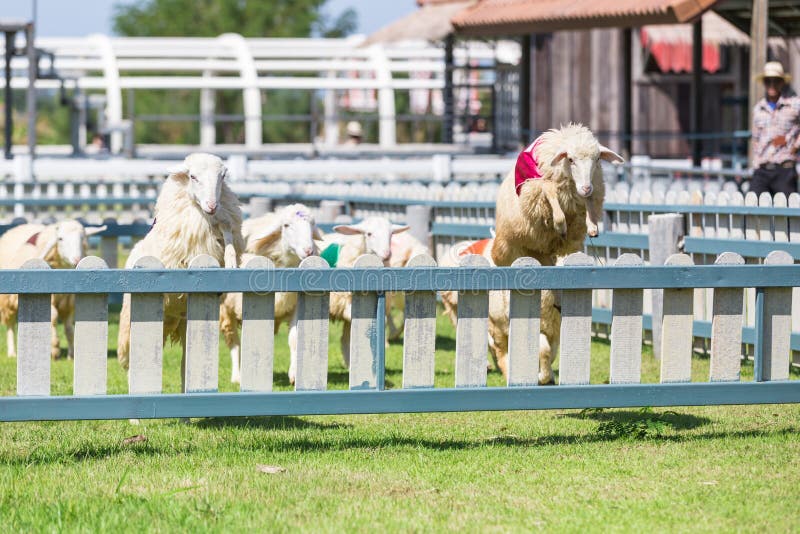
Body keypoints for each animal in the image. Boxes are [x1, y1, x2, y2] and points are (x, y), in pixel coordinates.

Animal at [0, 220, 106, 359]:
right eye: (60, 239)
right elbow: (54, 317)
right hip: (7, 300)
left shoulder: (69, 301)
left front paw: (71, 354)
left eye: (83, 238)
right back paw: (12, 352)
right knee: (10, 325)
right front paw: (55, 348)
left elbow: (69, 327)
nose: (77, 259)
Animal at [117, 153, 245, 392]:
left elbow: (227, 233)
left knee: (186, 367)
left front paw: (232, 260)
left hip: (185, 322)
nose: (212, 205)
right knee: (132, 364)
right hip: (132, 322)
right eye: (192, 176)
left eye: (222, 176)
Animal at [219, 203, 321, 384]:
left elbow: (294, 339)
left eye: (312, 225)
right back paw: (237, 376)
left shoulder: (295, 306)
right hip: (226, 309)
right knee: (233, 341)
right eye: (286, 225)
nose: (309, 251)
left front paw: (294, 375)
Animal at [286, 216, 408, 384]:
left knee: (345, 339)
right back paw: (294, 374)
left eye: (391, 234)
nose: (387, 254)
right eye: (369, 234)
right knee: (294, 338)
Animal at [490, 123, 623, 383]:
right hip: (509, 248)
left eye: (597, 159)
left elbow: (589, 205)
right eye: (570, 159)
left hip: (546, 253)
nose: (585, 187)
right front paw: (560, 222)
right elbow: (550, 191)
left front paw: (592, 226)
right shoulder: (539, 186)